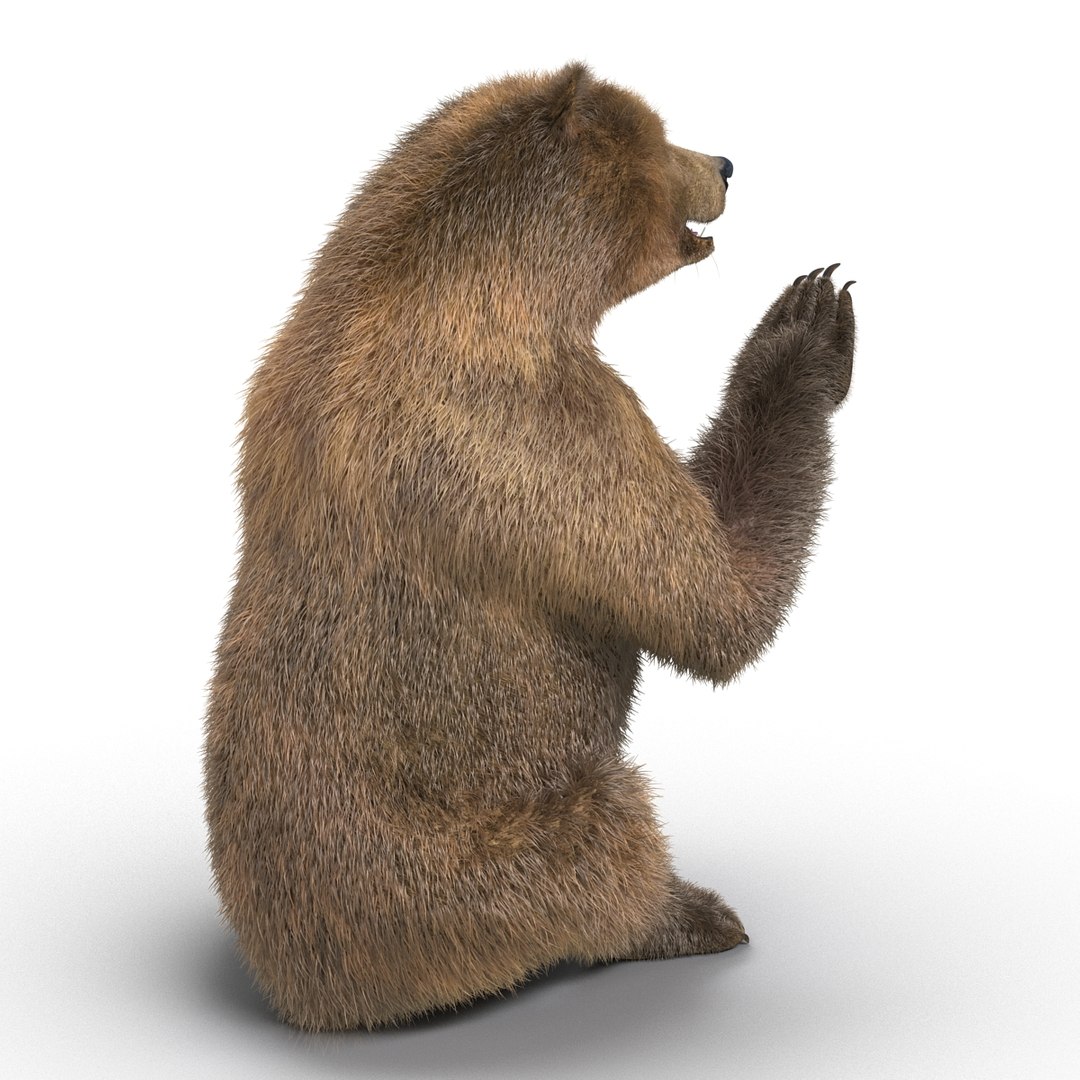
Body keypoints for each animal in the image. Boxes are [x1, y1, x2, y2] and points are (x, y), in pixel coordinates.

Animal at [204, 62, 855, 1032]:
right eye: (660, 136)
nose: (728, 162)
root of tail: (309, 994)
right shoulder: (543, 433)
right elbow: (711, 597)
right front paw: (805, 323)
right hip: (476, 858)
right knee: (610, 839)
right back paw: (691, 913)